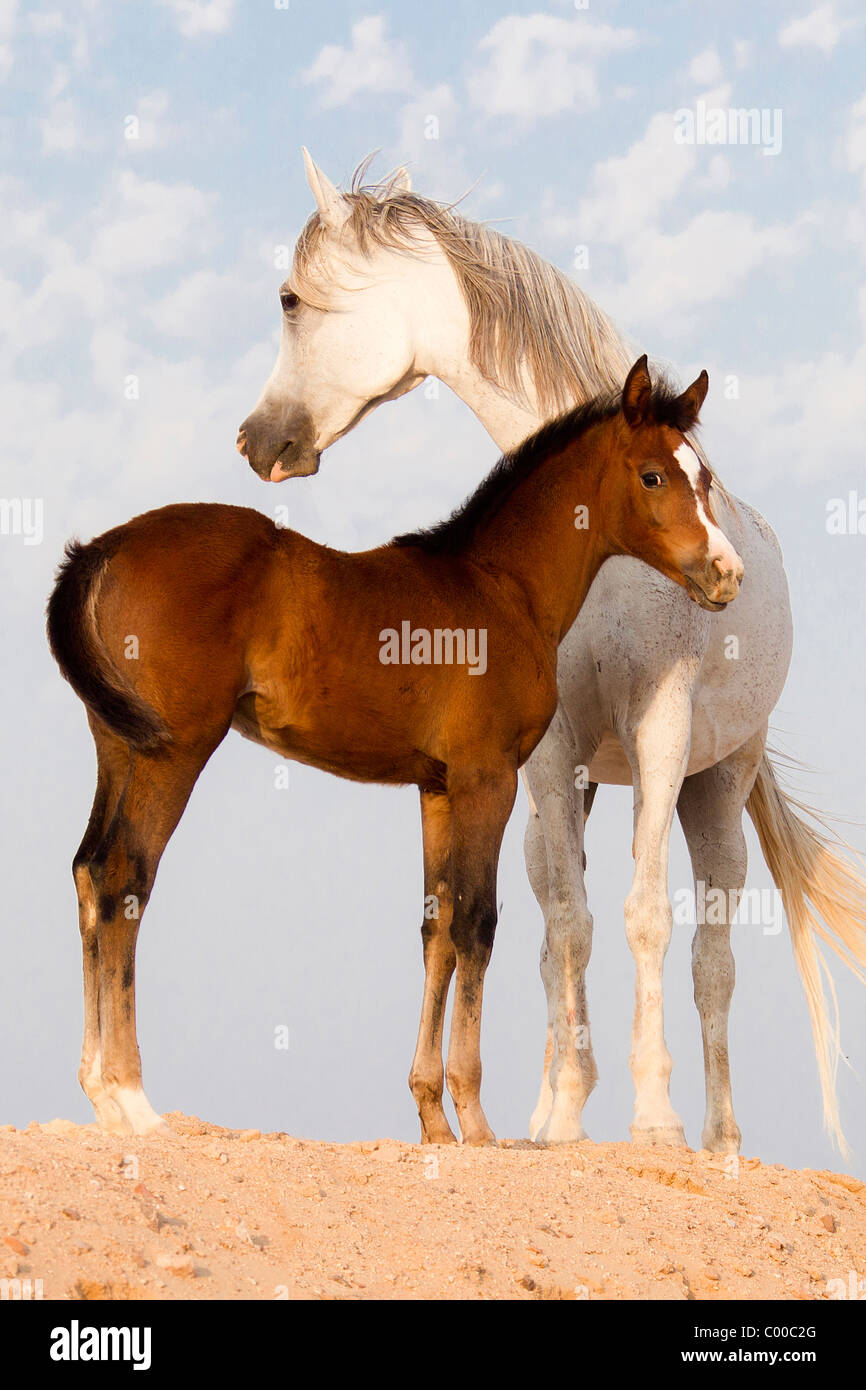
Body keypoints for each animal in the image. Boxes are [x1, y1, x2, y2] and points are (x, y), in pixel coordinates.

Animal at [47, 360, 741, 1143]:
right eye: (654, 476)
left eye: (705, 477)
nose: (727, 573)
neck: (501, 586)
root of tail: (101, 550)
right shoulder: (486, 779)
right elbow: (477, 924)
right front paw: (476, 1120)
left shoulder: (436, 787)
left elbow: (436, 928)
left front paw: (433, 1116)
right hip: (174, 751)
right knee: (124, 878)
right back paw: (131, 1098)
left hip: (119, 745)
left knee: (88, 872)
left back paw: (98, 1093)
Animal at [237, 153, 866, 1154]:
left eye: (291, 300)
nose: (257, 440)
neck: (598, 559)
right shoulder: (549, 758)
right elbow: (566, 925)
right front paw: (563, 1115)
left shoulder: (659, 736)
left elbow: (647, 920)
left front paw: (654, 1118)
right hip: (565, 800)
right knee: (549, 930)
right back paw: (544, 1108)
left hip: (716, 787)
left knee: (713, 956)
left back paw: (722, 1136)